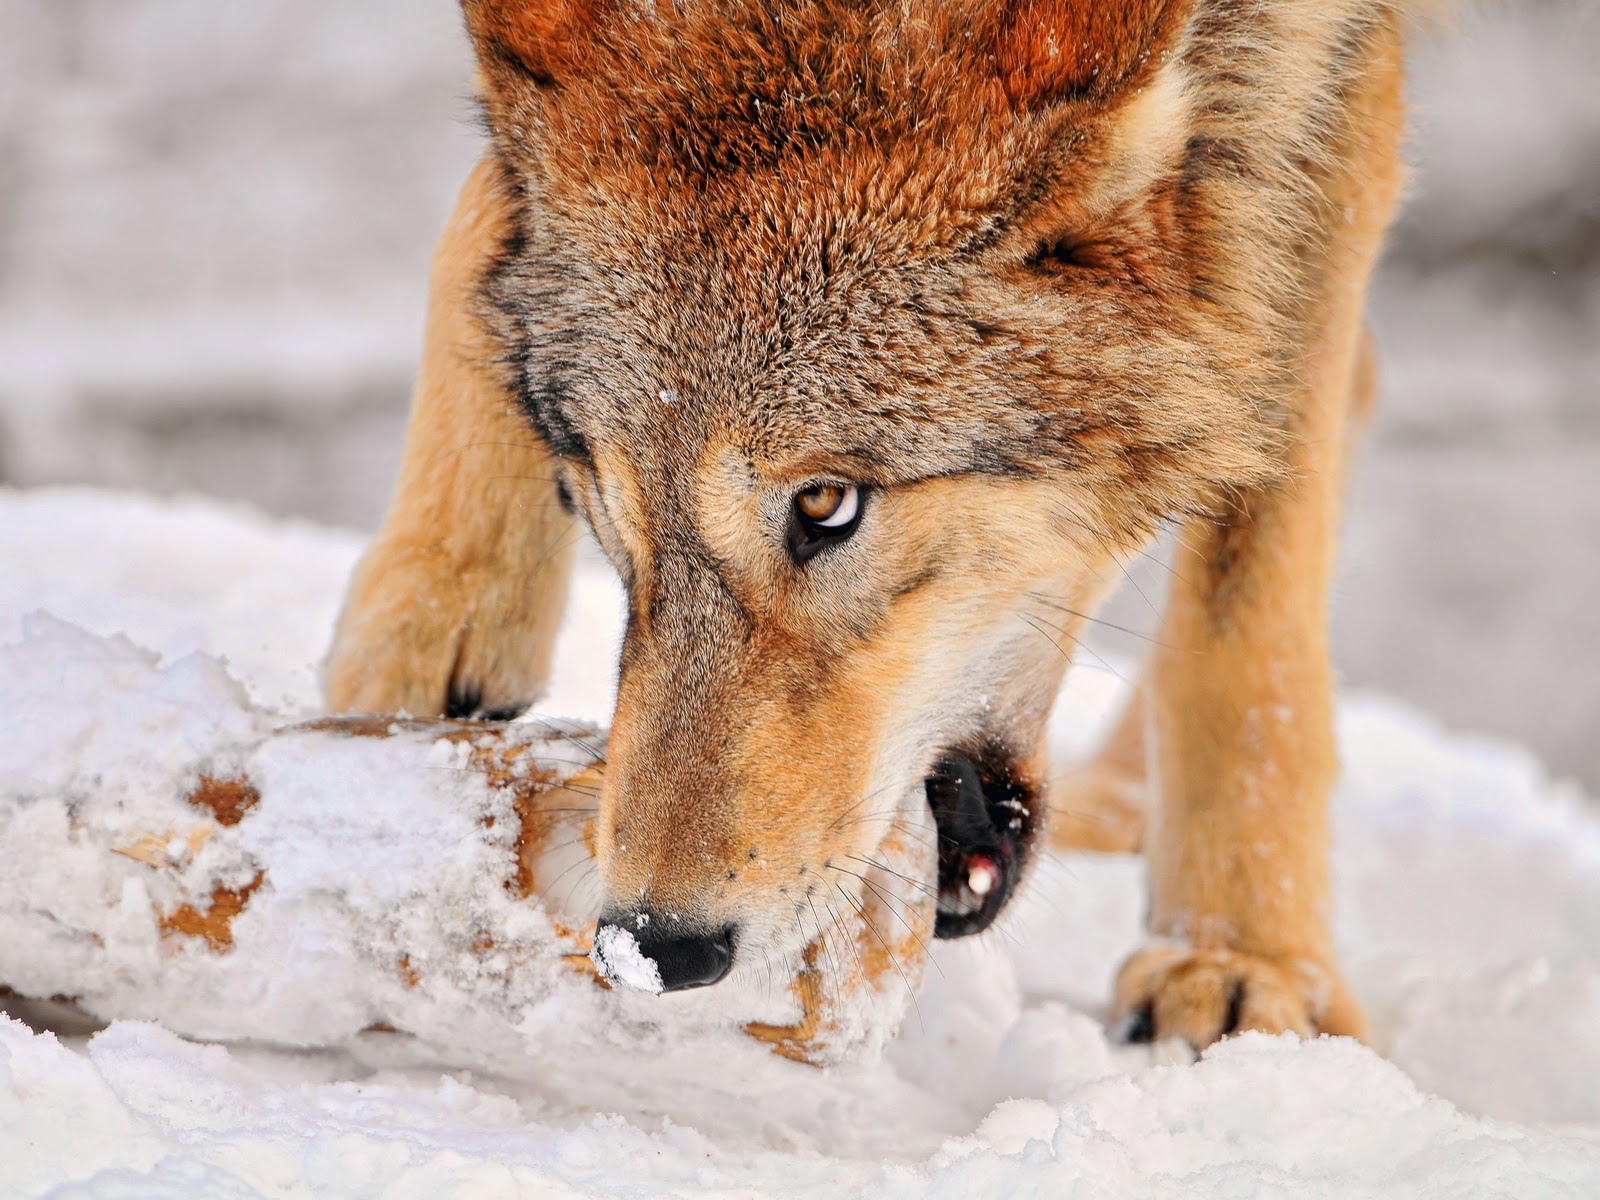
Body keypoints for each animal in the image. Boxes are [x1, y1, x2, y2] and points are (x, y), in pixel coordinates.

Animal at [327, 0, 1407, 1047]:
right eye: (601, 511)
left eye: (825, 505)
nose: (651, 949)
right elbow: (483, 215)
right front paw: (424, 627)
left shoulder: (1337, 70)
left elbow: (1242, 600)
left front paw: (1242, 957)